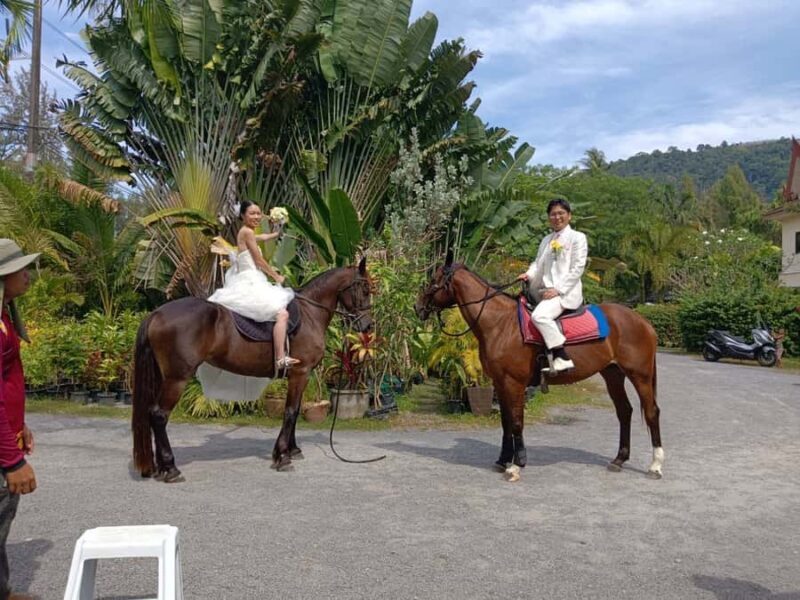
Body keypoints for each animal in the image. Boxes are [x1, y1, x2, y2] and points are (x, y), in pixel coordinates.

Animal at [132, 258, 372, 481]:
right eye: (365, 289)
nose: (367, 325)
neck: (309, 313)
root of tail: (156, 313)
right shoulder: (300, 373)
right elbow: (290, 411)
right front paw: (282, 456)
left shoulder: (301, 375)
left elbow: (294, 411)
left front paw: (292, 450)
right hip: (177, 379)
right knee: (159, 415)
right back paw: (171, 468)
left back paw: (160, 467)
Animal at [415, 253, 664, 479]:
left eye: (434, 280)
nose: (418, 307)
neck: (501, 323)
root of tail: (643, 321)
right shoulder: (500, 383)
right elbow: (506, 422)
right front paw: (503, 460)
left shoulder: (514, 383)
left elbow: (516, 422)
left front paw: (517, 465)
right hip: (613, 374)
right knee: (624, 411)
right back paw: (619, 459)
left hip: (640, 375)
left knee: (651, 412)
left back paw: (655, 466)